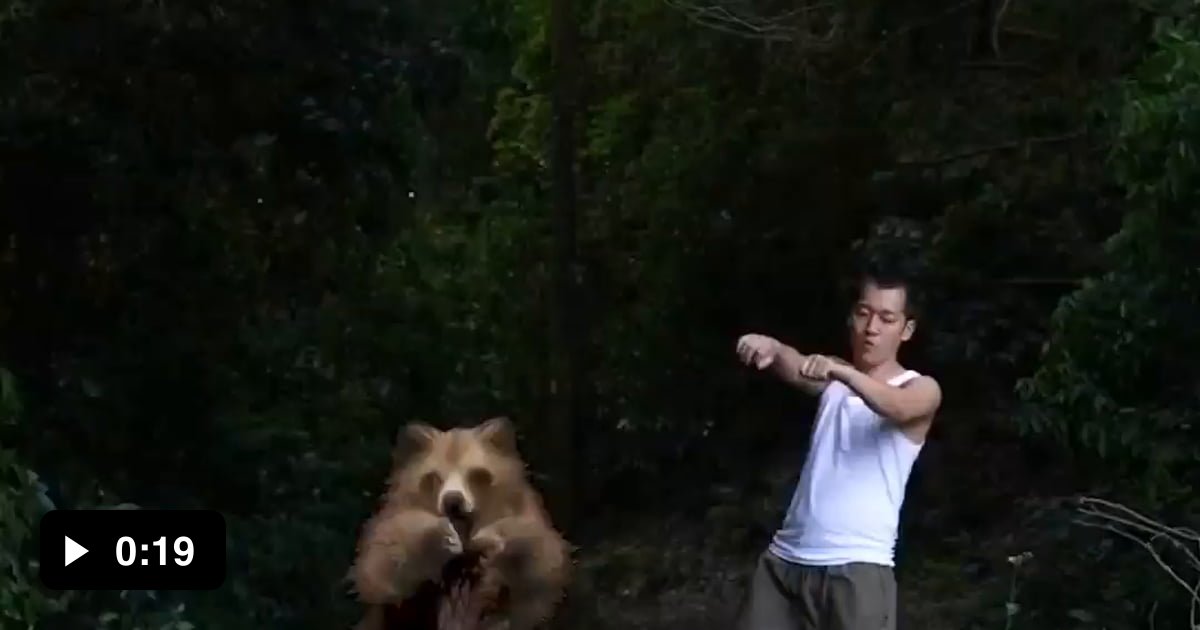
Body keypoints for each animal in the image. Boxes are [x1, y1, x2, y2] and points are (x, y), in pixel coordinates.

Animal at [350, 416, 572, 630]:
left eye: (476, 474)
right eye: (434, 477)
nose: (453, 501)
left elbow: (544, 565)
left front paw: (500, 539)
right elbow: (379, 564)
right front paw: (433, 537)